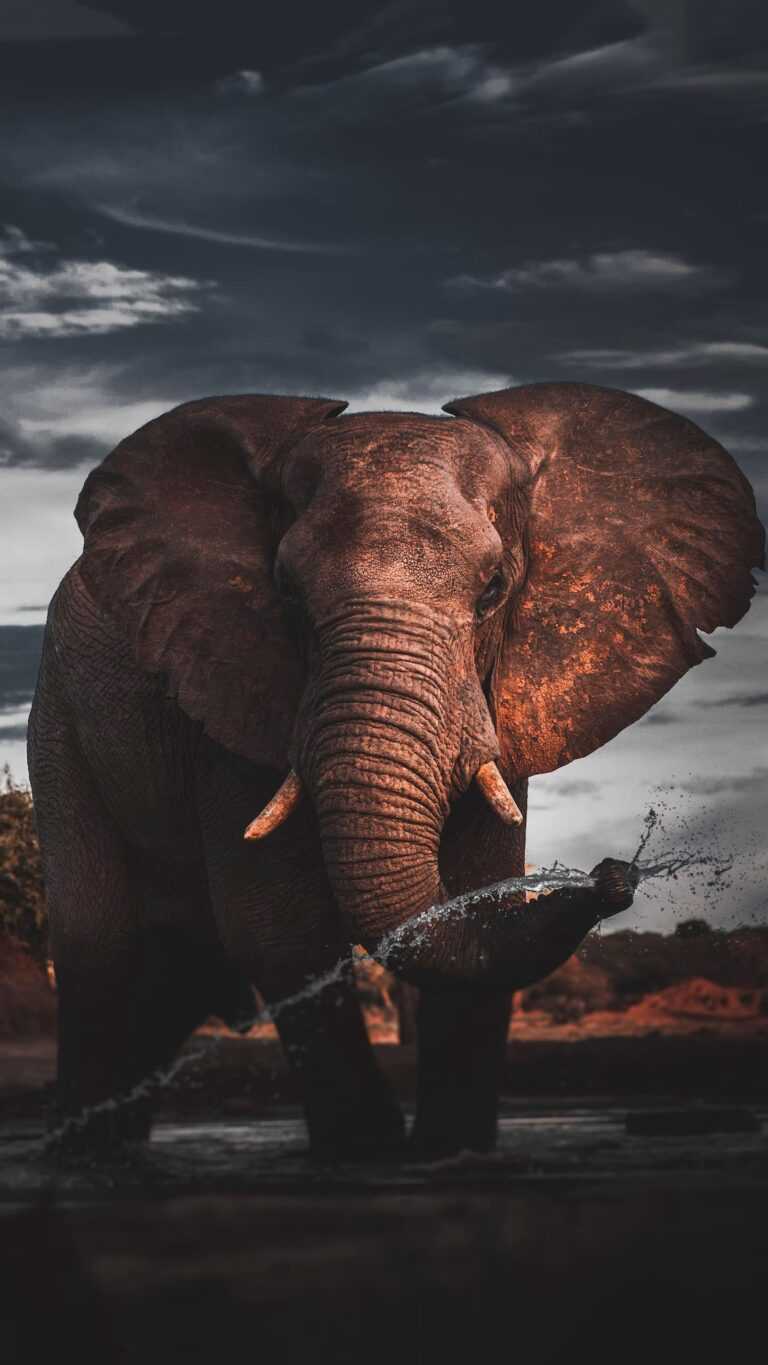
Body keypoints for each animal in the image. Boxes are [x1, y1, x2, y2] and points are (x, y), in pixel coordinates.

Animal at [27, 382, 763, 1160]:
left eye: (494, 589)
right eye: (285, 591)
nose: (614, 874)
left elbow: (475, 892)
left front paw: (451, 1151)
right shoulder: (229, 685)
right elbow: (278, 925)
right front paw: (369, 1153)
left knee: (180, 971)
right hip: (60, 722)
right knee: (100, 946)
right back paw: (82, 1156)